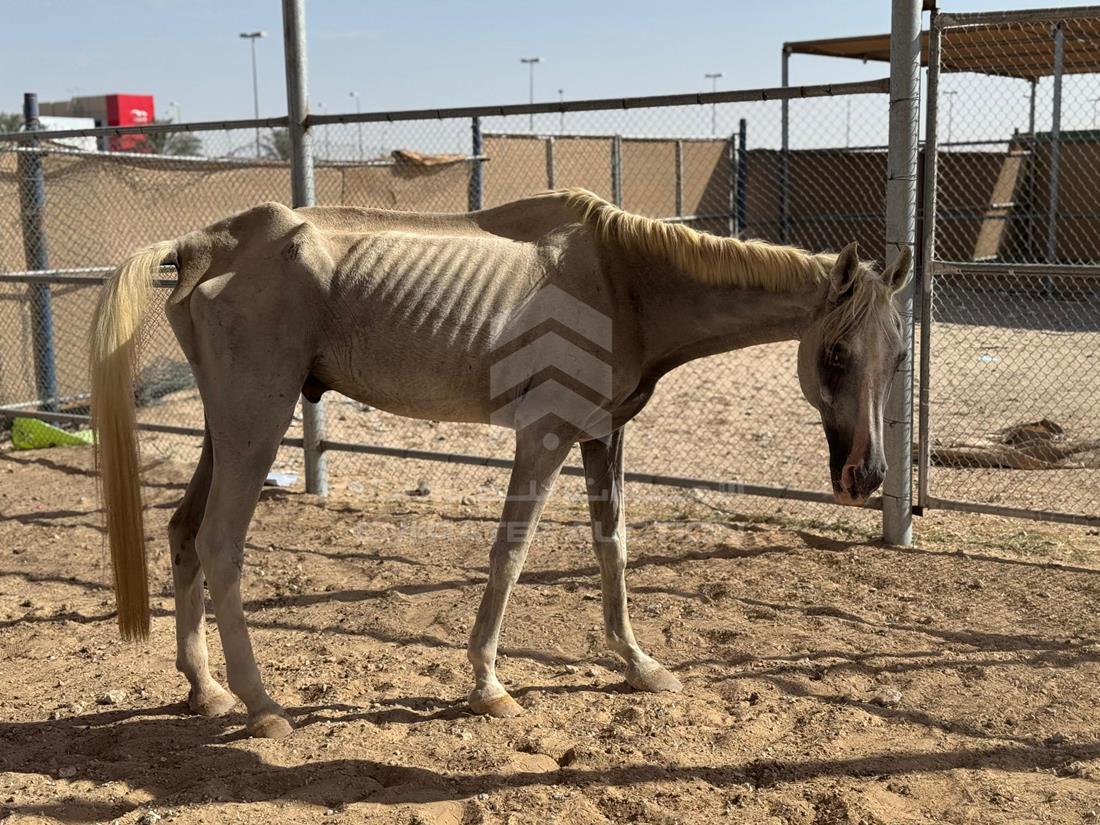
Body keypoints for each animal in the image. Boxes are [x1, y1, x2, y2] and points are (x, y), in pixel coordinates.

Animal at [90, 188, 910, 738]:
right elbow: (510, 553)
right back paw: (261, 705)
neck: (624, 281)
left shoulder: (602, 435)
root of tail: (203, 245)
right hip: (256, 426)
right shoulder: (544, 438)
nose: (866, 478)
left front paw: (638, 664)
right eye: (836, 353)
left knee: (184, 532)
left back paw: (206, 690)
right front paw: (487, 683)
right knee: (221, 545)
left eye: (899, 356)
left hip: (224, 430)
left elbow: (612, 548)